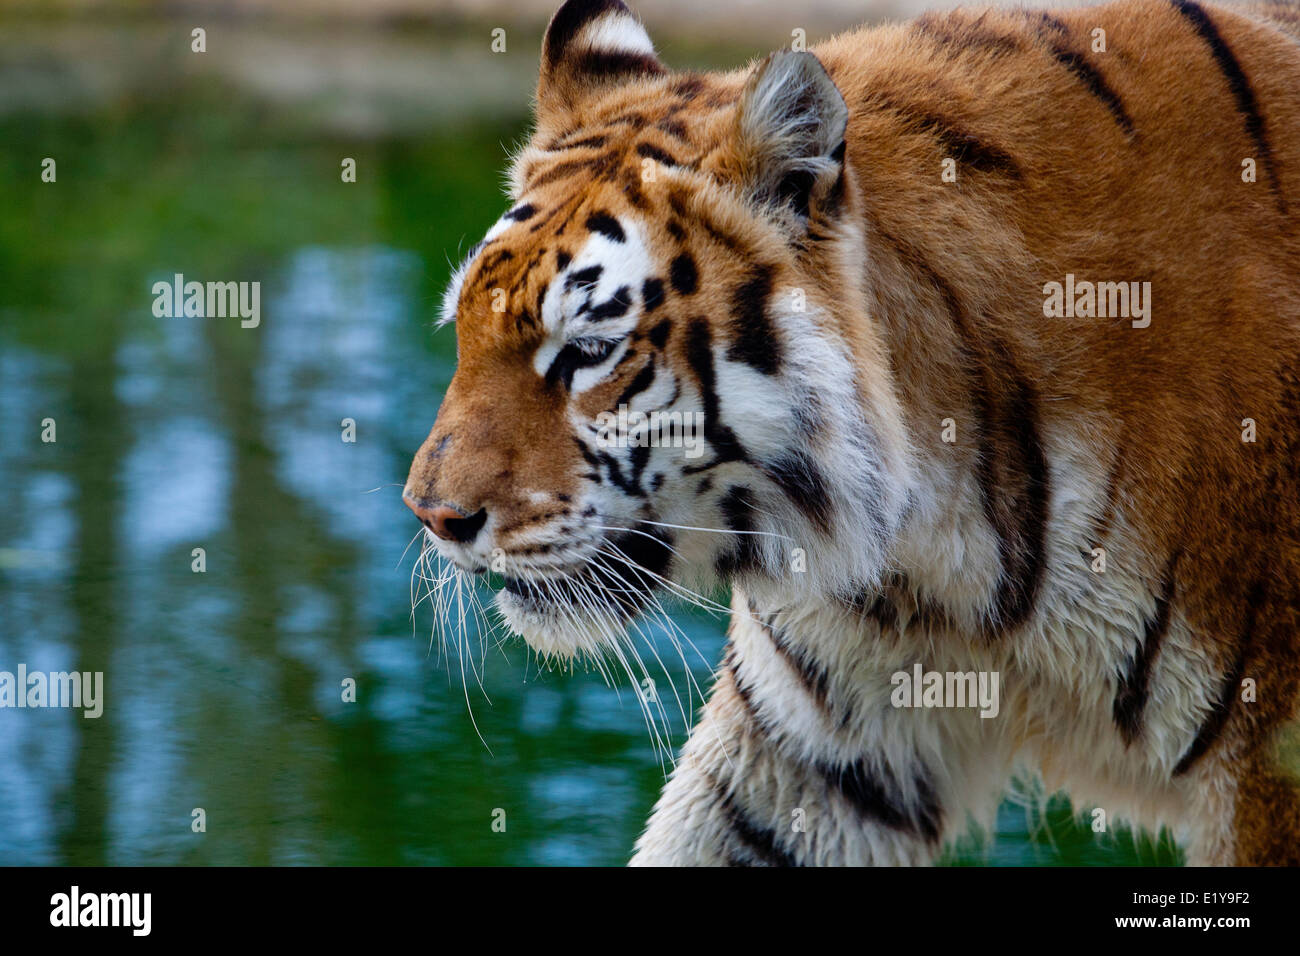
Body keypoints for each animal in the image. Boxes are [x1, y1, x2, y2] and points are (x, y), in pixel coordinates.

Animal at [404, 0, 1300, 865]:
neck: (943, 553)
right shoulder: (816, 748)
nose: (433, 516)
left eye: (588, 353)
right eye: (462, 334)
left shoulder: (1265, 773)